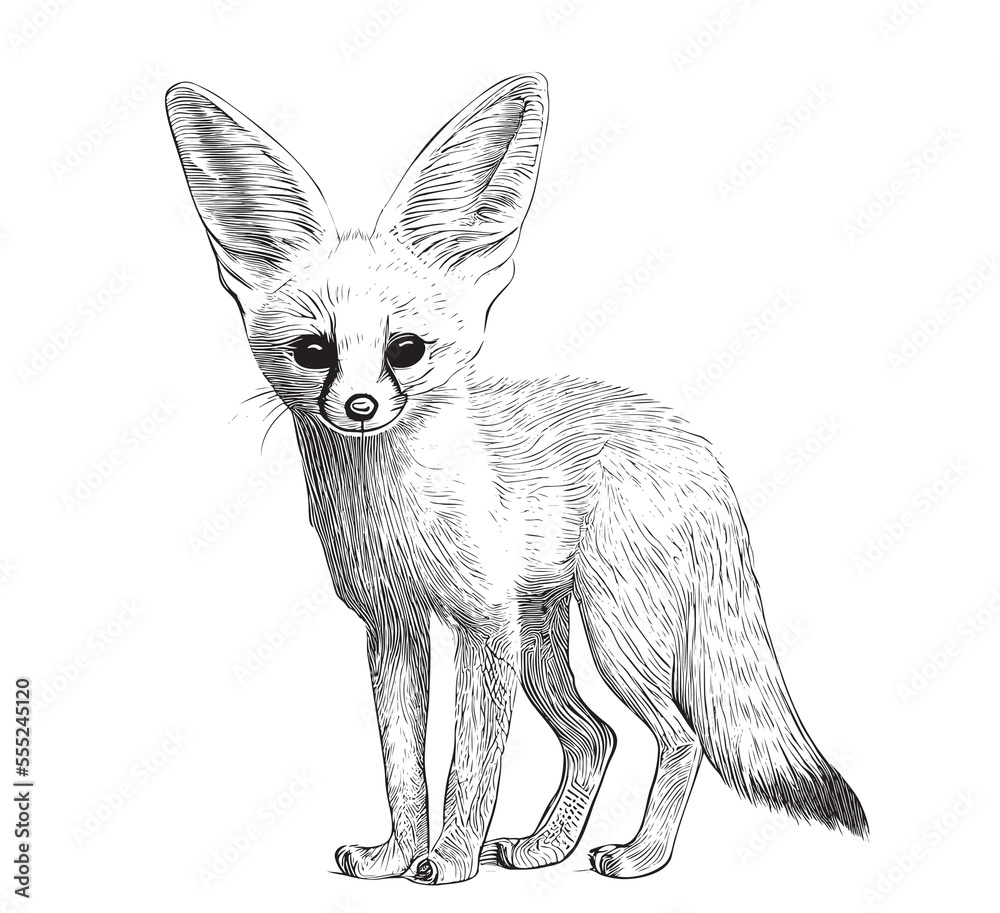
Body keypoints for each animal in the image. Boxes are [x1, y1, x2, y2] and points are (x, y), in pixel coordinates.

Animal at [165, 73, 868, 885]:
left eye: (405, 350)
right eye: (315, 351)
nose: (360, 406)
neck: (391, 510)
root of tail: (692, 443)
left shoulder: (482, 623)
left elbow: (471, 764)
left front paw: (449, 859)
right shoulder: (394, 631)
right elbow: (402, 765)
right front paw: (398, 853)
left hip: (611, 634)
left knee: (680, 735)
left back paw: (642, 856)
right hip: (544, 644)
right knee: (596, 736)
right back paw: (544, 846)